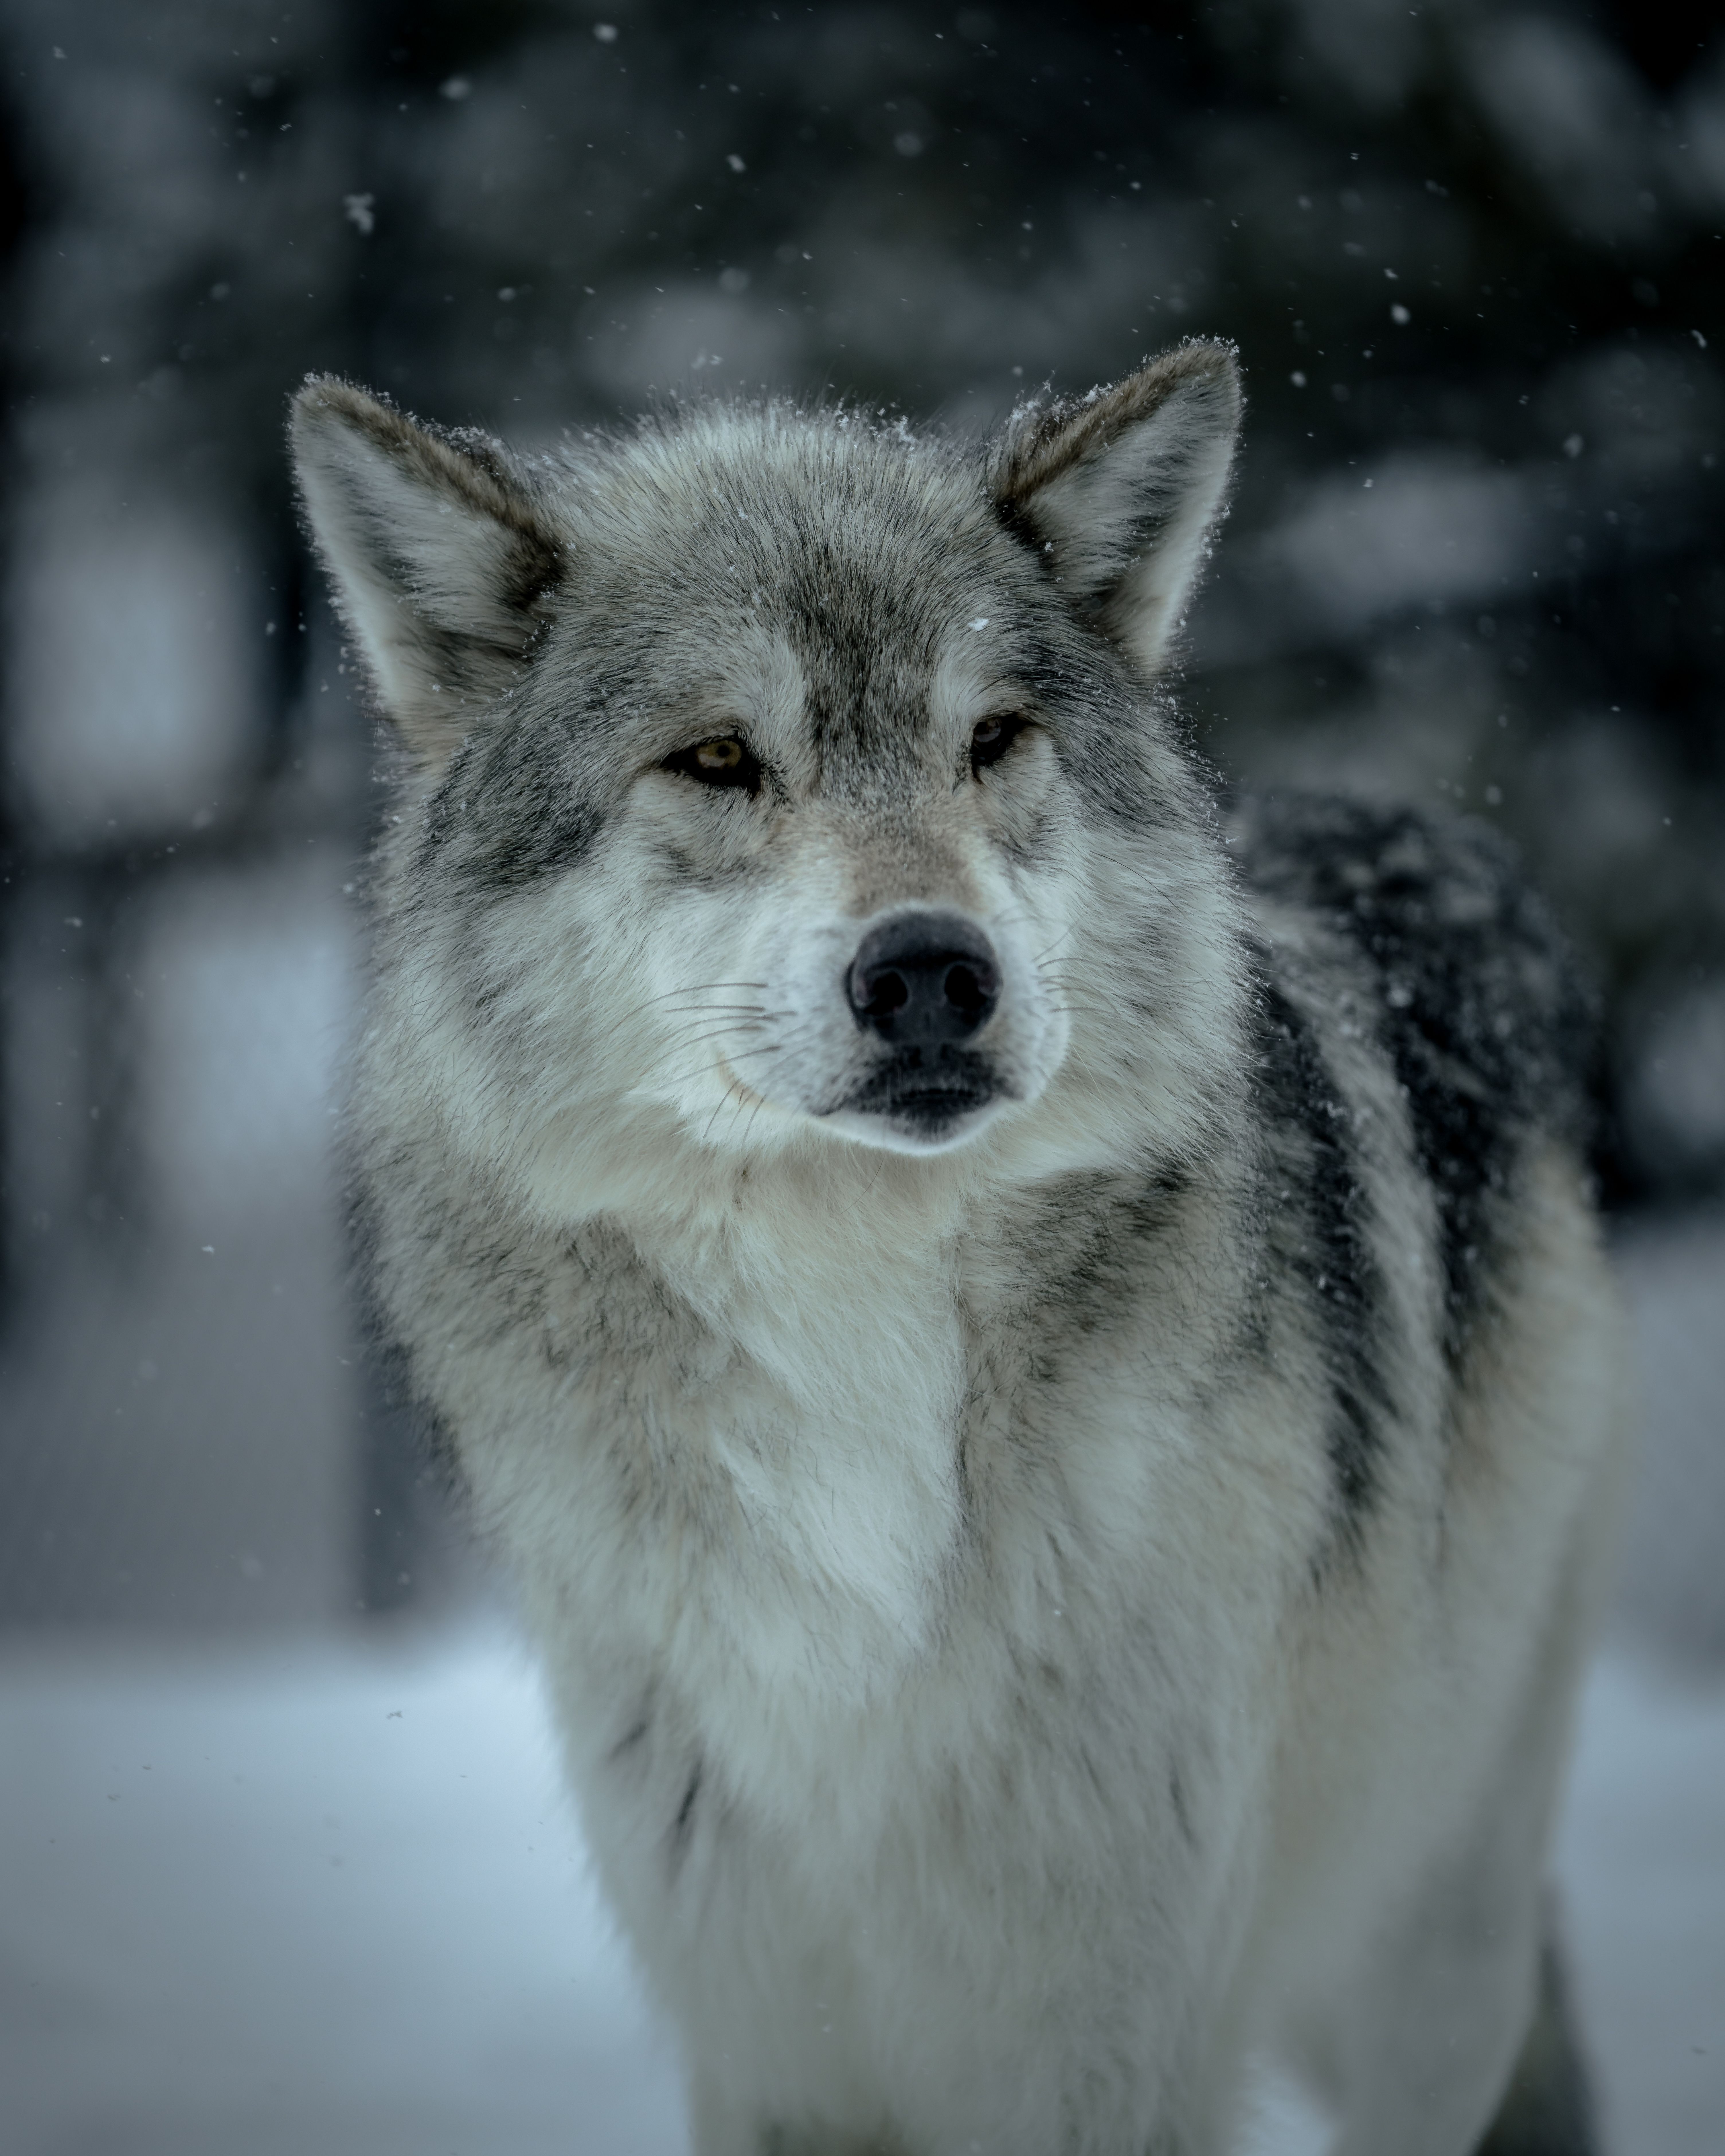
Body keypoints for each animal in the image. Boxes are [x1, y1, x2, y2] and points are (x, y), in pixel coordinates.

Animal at [293, 340, 1626, 2156]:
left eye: (990, 738)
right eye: (720, 760)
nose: (932, 969)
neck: (850, 1315)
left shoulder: (1102, 2036)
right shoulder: (775, 2037)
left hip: (1432, 1930)